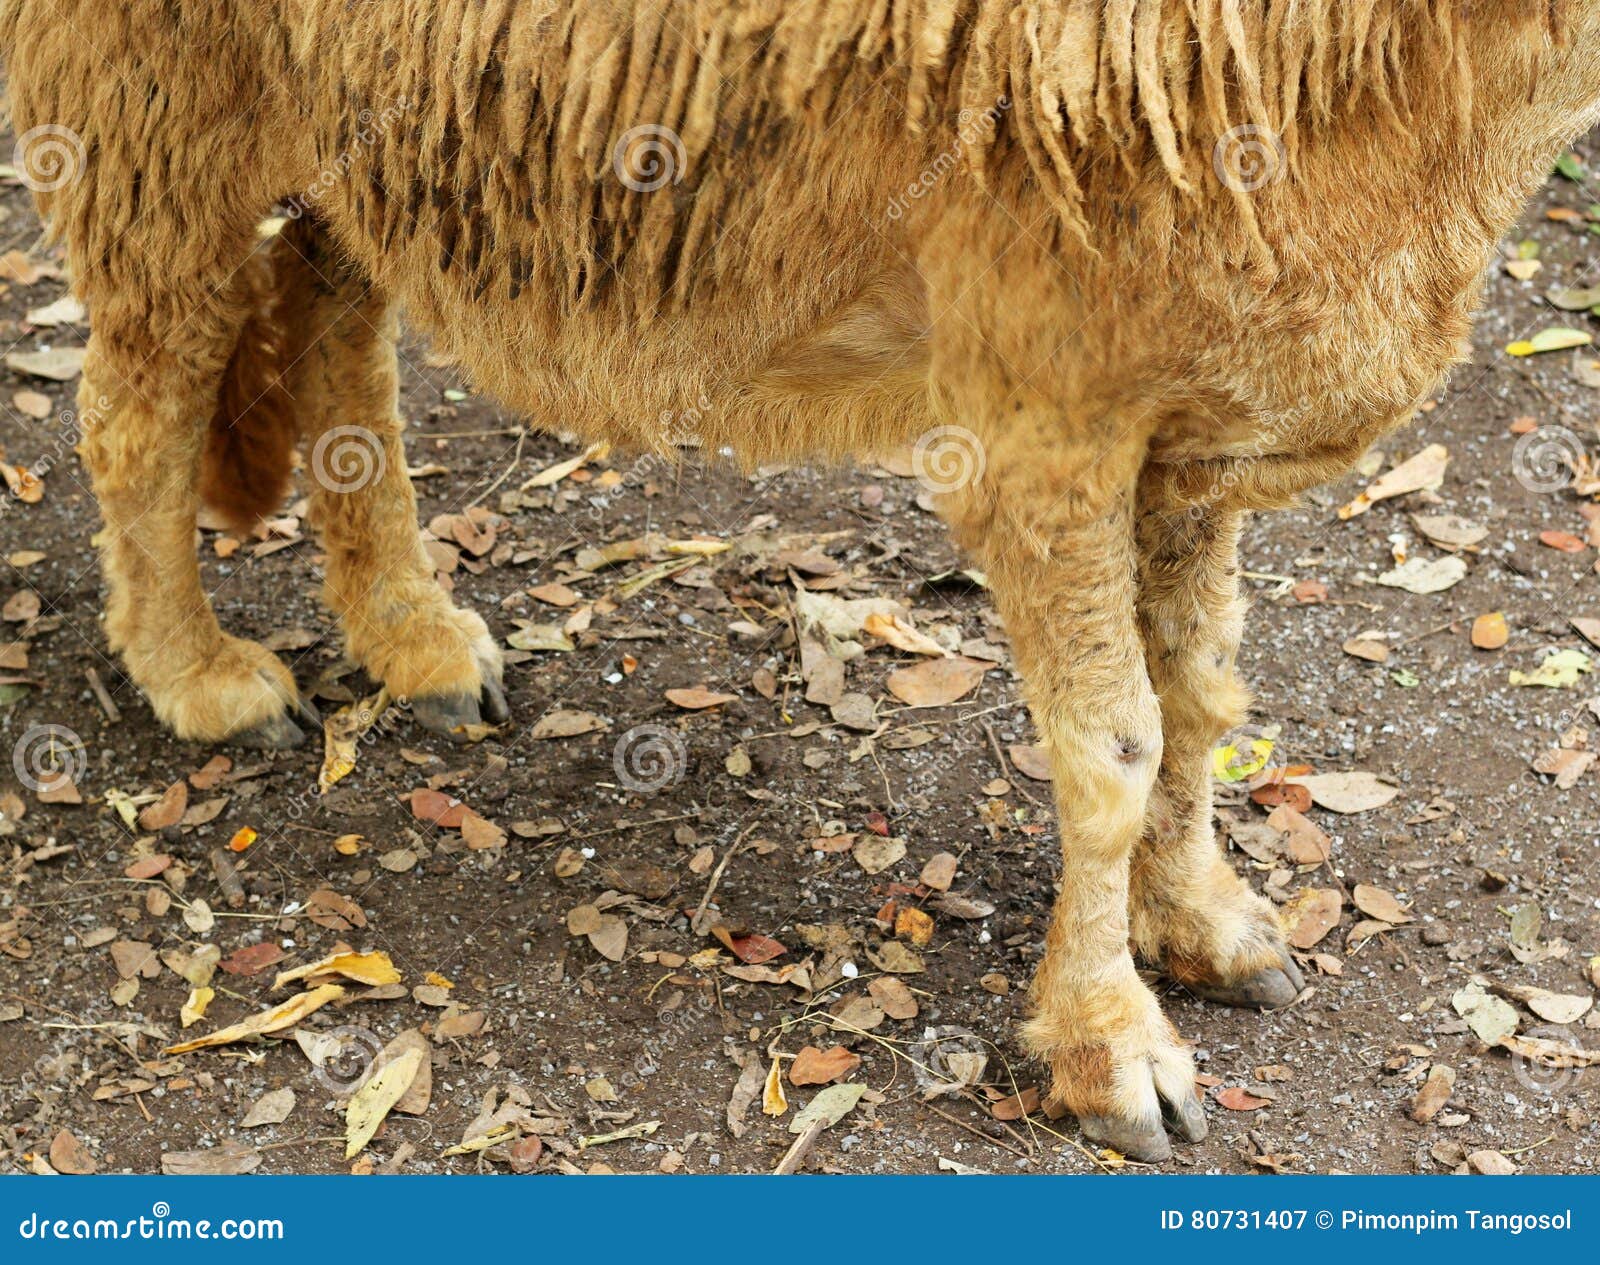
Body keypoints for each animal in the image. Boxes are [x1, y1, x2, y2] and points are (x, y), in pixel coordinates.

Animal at [2, 1, 1596, 1162]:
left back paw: (415, 639)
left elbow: (1199, 701)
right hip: (148, 101)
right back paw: (199, 675)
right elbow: (1113, 748)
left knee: (333, 313)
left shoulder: (1190, 418)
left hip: (372, 125)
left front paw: (1202, 922)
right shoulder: (1043, 405)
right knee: (137, 399)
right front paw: (1108, 1049)